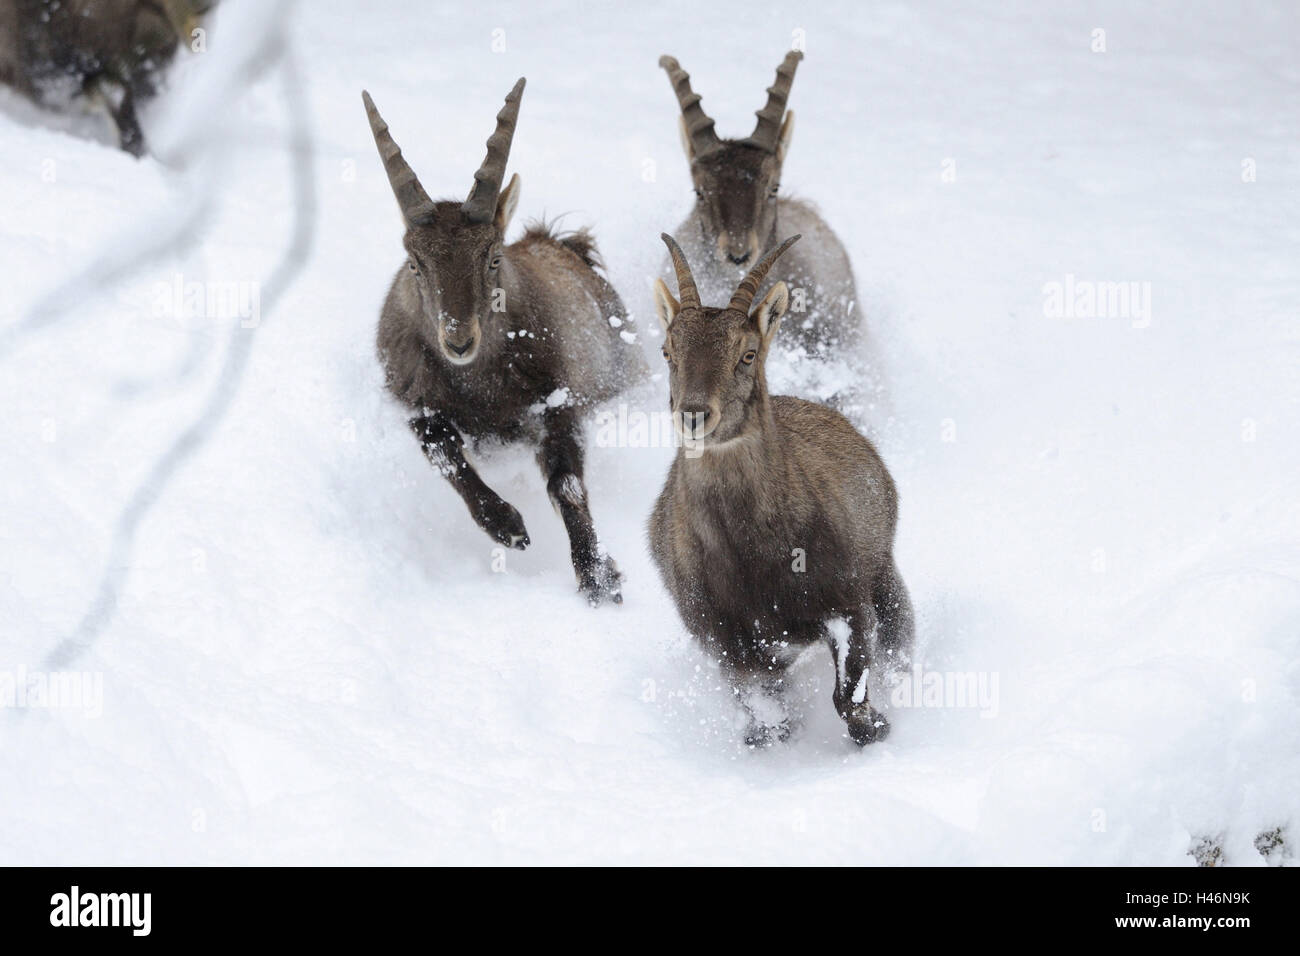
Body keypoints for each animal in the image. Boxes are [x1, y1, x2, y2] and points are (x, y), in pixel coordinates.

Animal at [364, 79, 645, 605]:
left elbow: (567, 483)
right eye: (415, 264)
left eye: (492, 256)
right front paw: (508, 524)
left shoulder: (557, 401)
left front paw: (598, 577)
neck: (478, 384)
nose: (457, 341)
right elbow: (444, 453)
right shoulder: (416, 403)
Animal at [647, 233, 913, 745]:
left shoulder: (848, 603)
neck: (751, 552)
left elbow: (848, 695)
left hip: (883, 568)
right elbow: (765, 714)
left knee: (902, 638)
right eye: (668, 351)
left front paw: (877, 728)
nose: (694, 414)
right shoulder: (729, 642)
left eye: (747, 354)